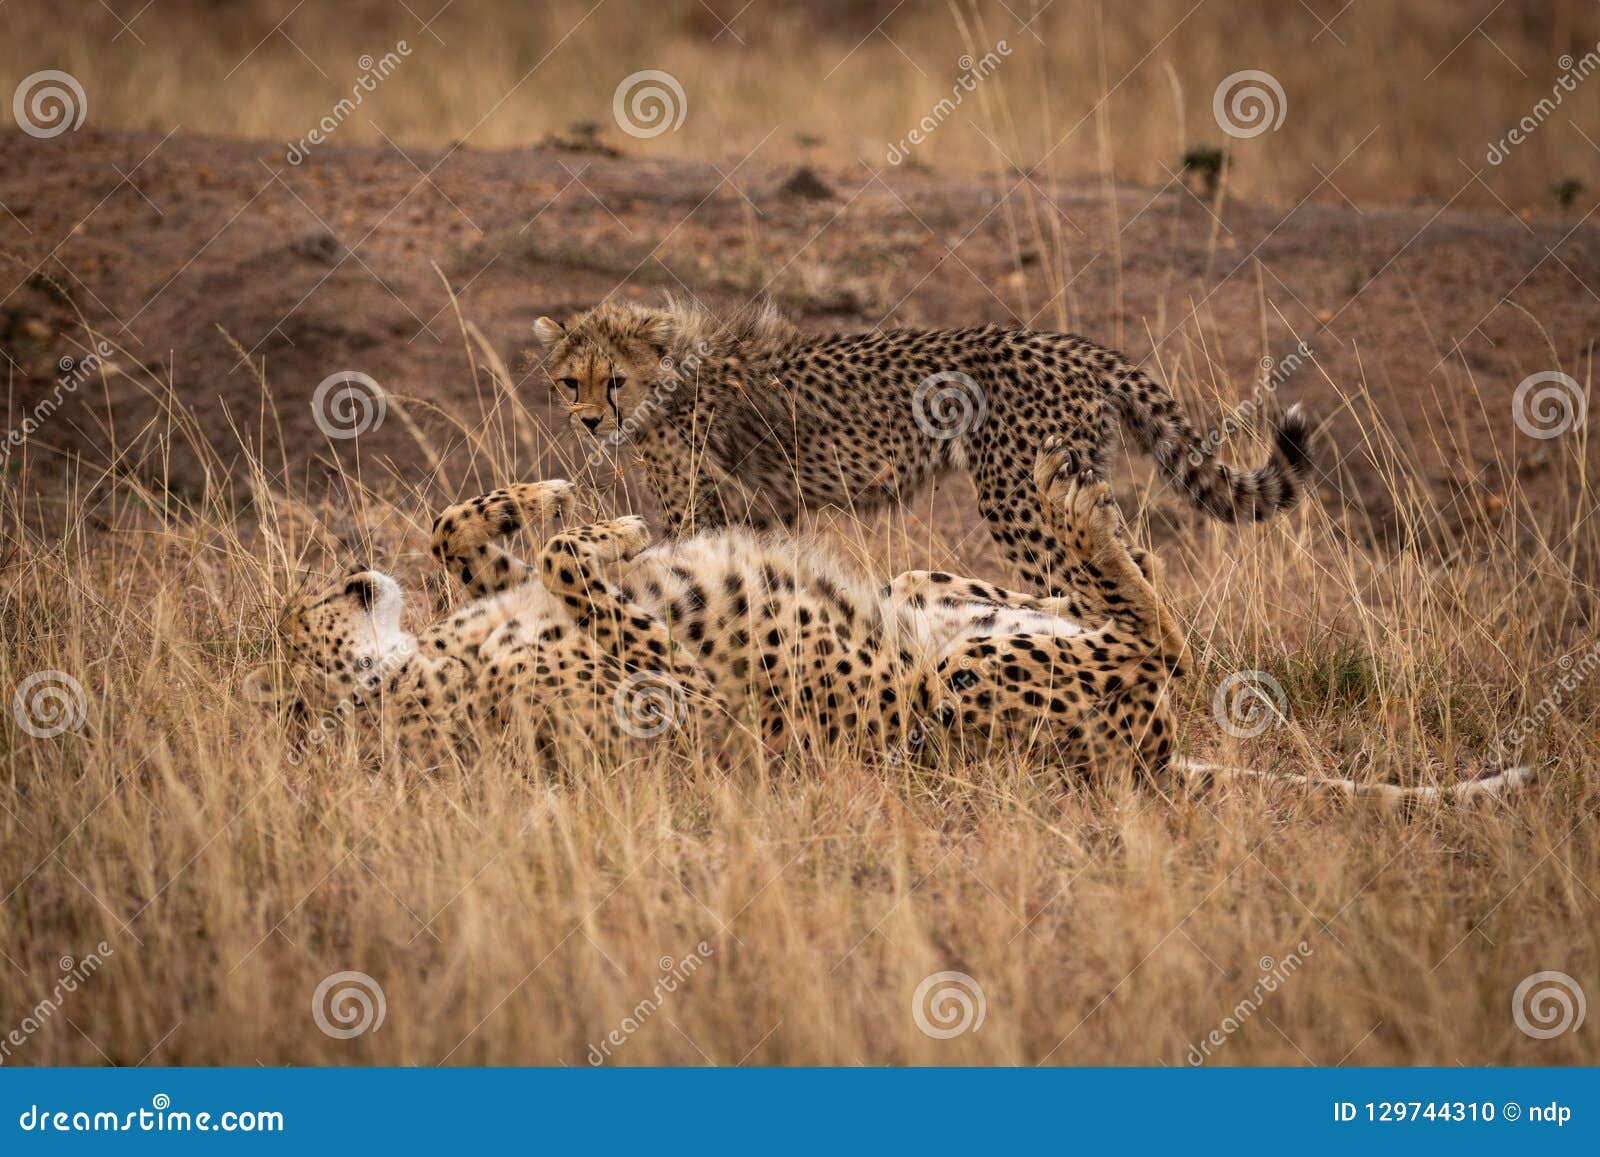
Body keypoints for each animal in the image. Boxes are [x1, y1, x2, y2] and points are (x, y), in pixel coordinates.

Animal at [533, 297, 1318, 611]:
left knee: (1086, 576)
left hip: (1018, 493)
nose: (589, 421)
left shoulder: (698, 505)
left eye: (614, 380)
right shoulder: (758, 509)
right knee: (1134, 559)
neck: (669, 378)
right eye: (571, 381)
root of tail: (1073, 345)